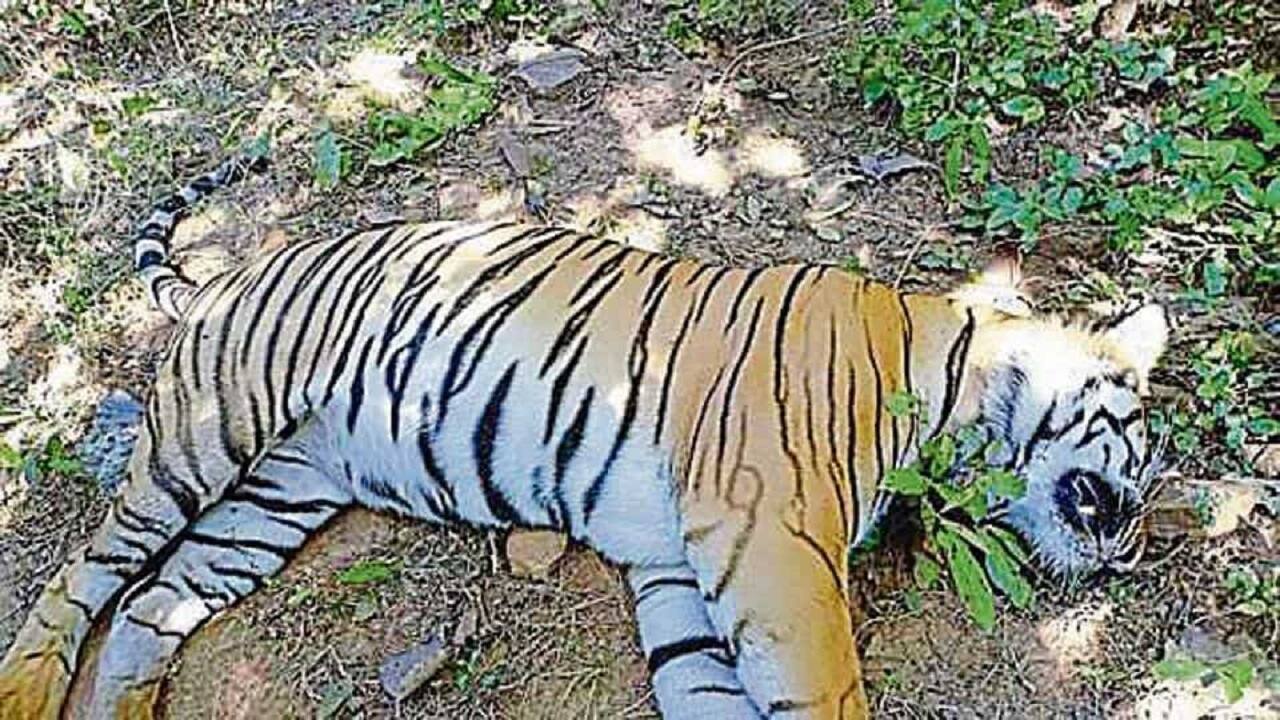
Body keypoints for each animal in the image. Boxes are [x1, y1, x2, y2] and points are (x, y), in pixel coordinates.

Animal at [0, 153, 1168, 720]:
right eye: (1143, 461)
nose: (1127, 554)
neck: (951, 386)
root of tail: (227, 274)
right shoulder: (774, 542)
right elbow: (822, 690)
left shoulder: (679, 566)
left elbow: (712, 696)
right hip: (206, 436)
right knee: (87, 575)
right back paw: (28, 687)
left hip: (277, 497)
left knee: (152, 605)